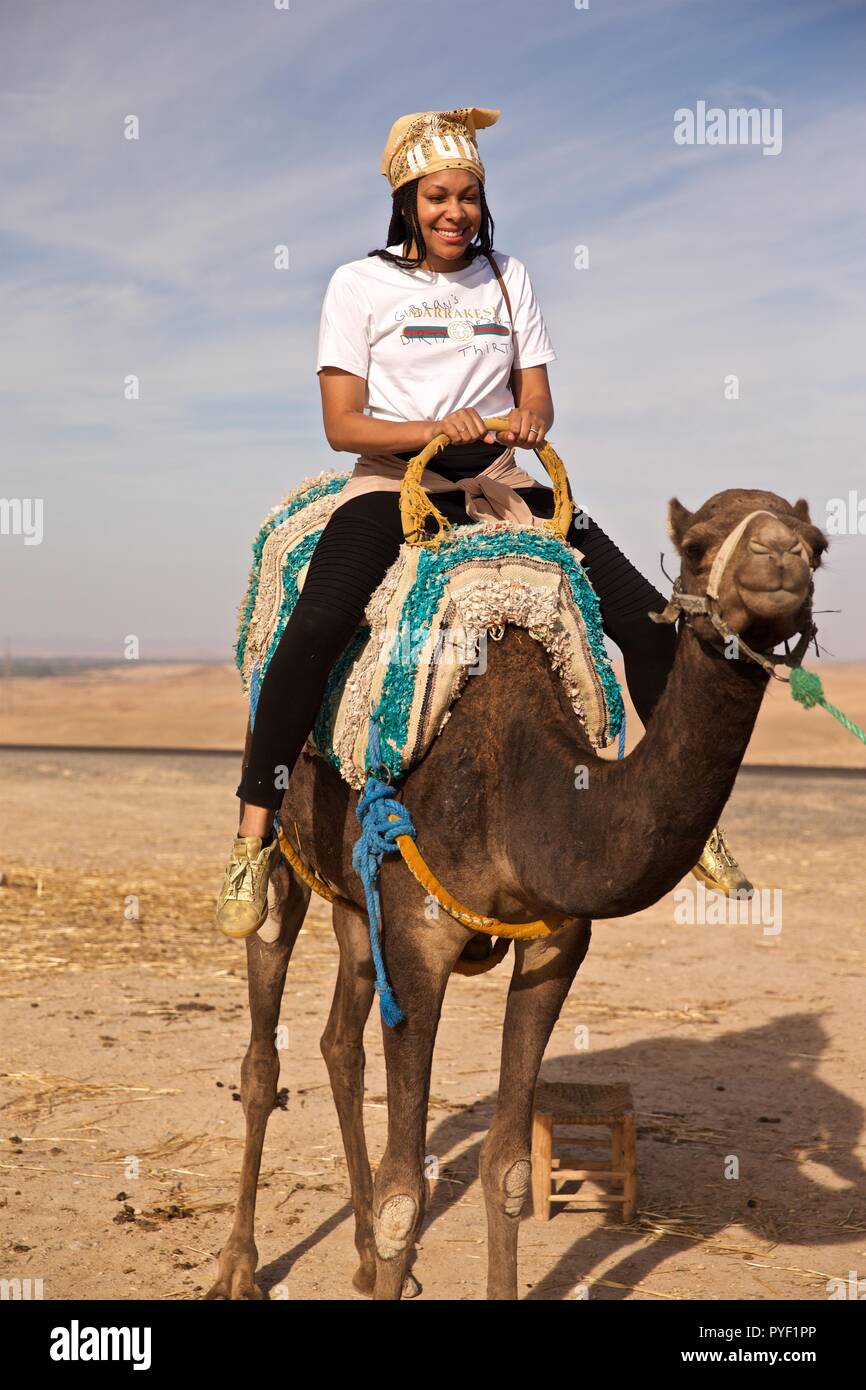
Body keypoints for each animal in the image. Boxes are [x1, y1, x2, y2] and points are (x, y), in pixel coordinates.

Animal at [205, 487, 826, 1301]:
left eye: (820, 544)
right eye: (695, 546)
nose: (781, 554)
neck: (512, 786)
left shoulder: (554, 944)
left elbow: (505, 1169)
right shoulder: (420, 938)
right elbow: (407, 1193)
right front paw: (381, 1236)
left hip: (356, 899)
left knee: (340, 1041)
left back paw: (366, 1261)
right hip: (285, 848)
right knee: (261, 1053)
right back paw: (239, 1266)